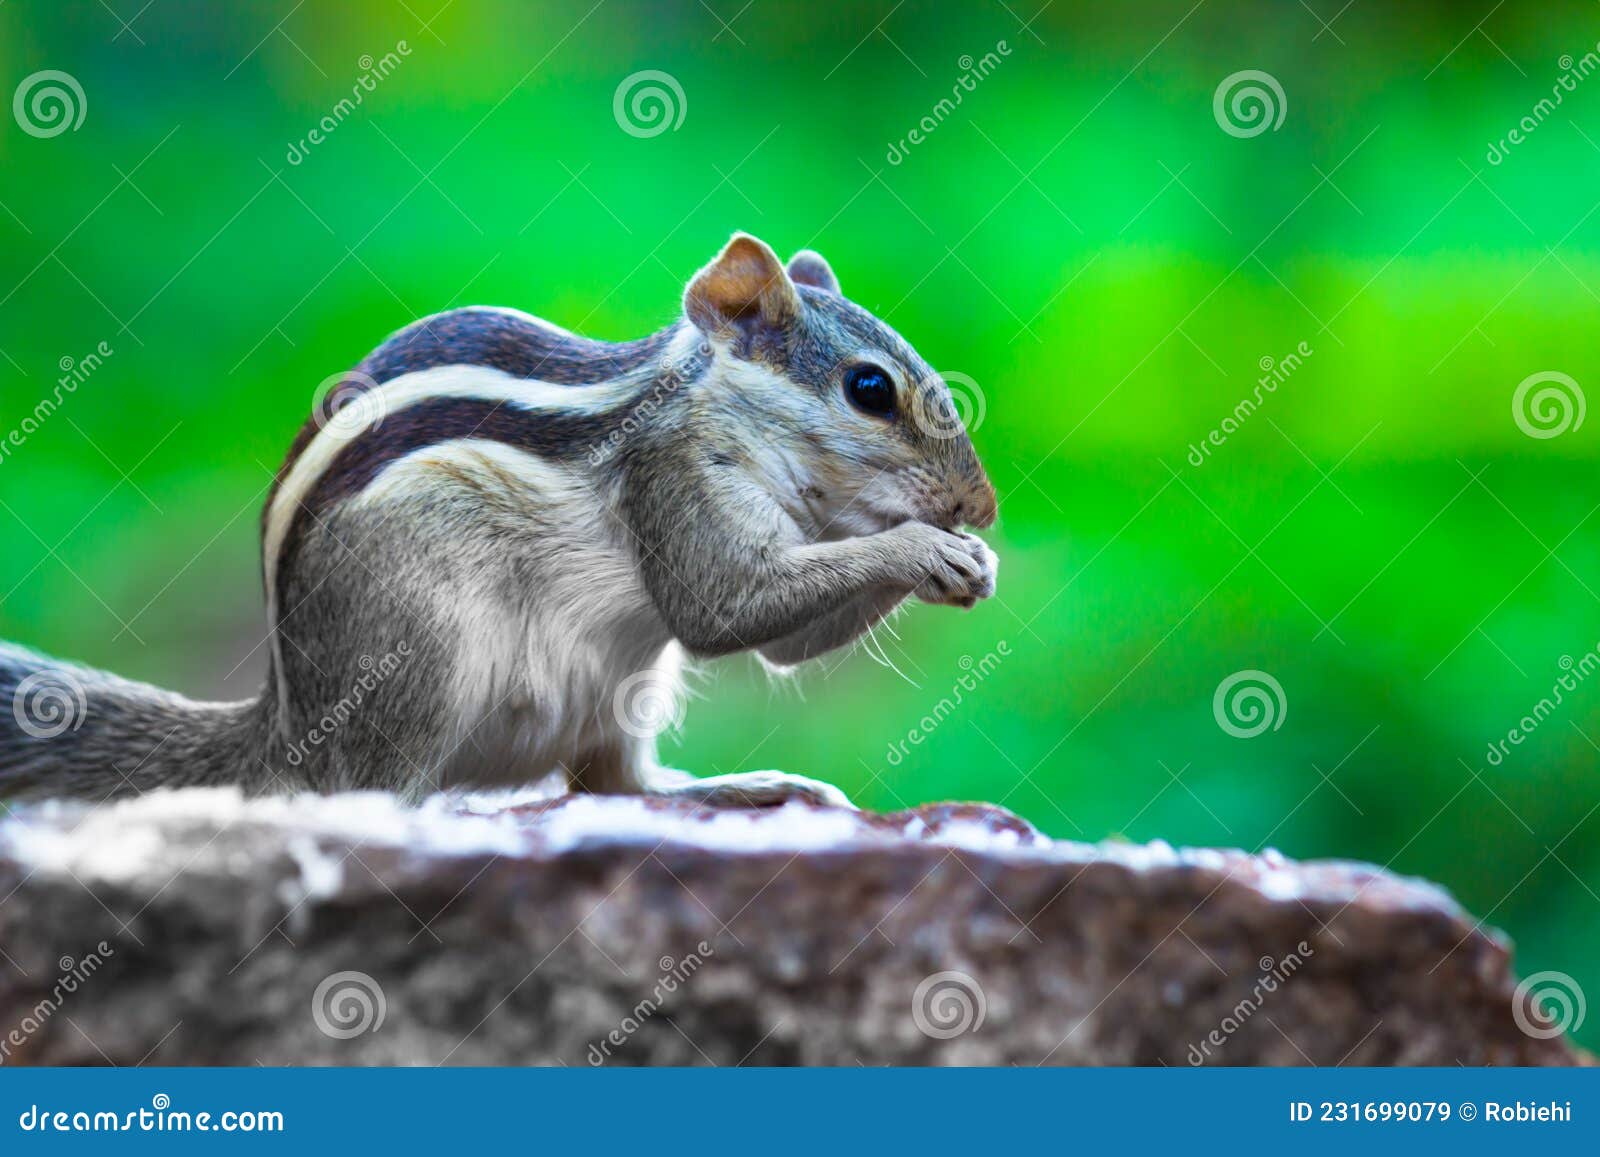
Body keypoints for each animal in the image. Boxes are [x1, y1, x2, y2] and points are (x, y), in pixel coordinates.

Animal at [0, 233, 998, 808]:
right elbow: (720, 607)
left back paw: (737, 788)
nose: (979, 507)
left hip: (622, 694)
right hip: (417, 654)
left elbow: (780, 644)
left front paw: (971, 559)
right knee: (364, 789)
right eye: (869, 389)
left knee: (616, 785)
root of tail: (284, 723)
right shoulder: (673, 480)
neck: (711, 408)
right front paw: (926, 547)